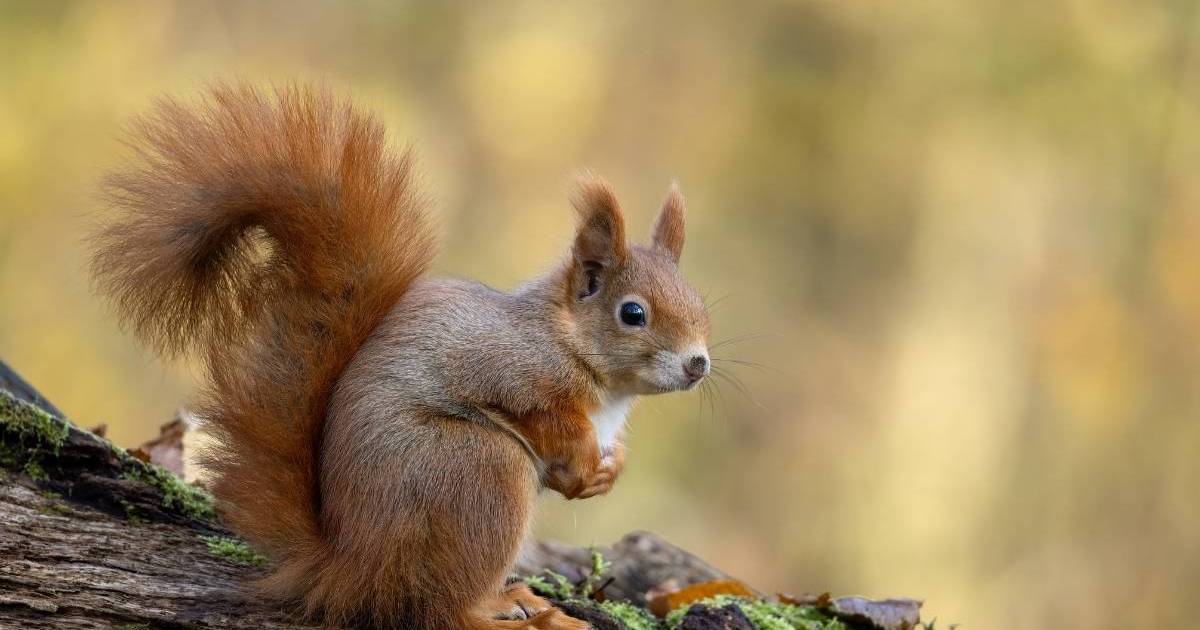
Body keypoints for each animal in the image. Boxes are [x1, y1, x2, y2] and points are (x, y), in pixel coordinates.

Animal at [89, 83, 711, 630]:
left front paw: (608, 471)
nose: (698, 363)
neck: (577, 354)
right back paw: (514, 619)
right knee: (436, 612)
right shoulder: (508, 368)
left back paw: (514, 598)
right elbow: (542, 415)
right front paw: (585, 464)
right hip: (478, 471)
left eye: (699, 301)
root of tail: (349, 570)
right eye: (633, 313)